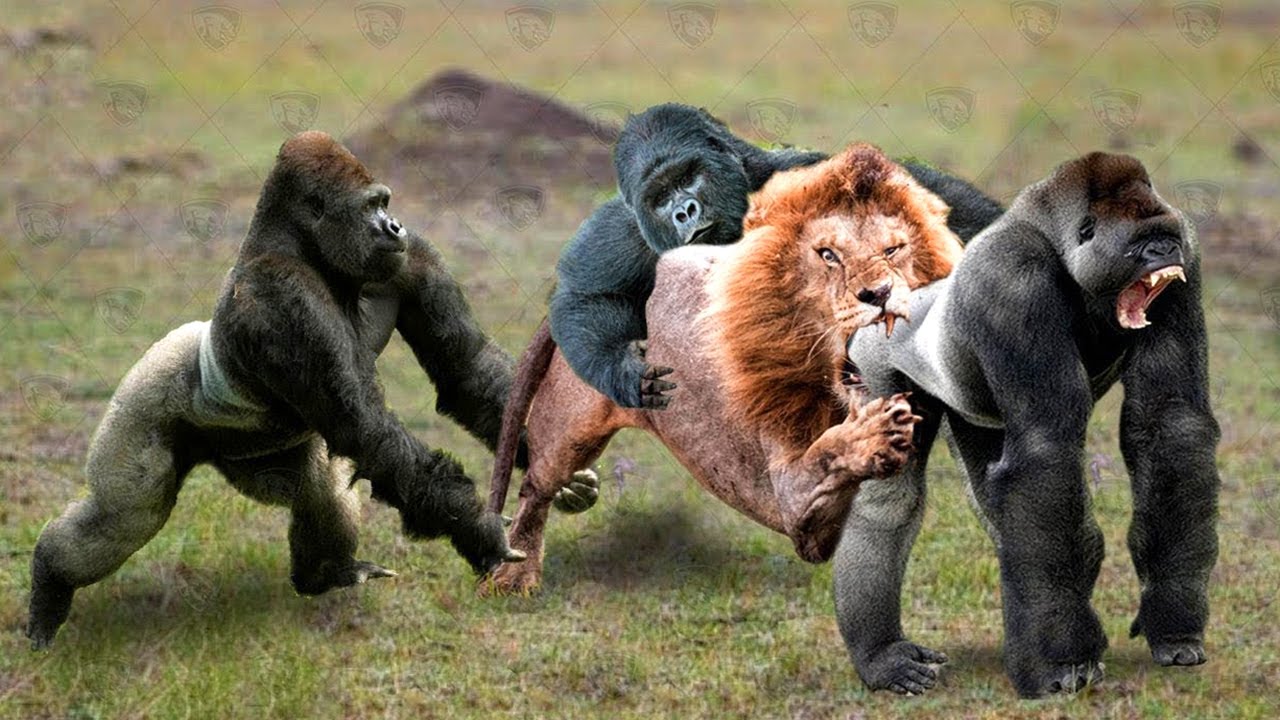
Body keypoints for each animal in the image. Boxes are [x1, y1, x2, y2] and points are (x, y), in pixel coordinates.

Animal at [27, 132, 525, 648]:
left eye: (385, 203)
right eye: (371, 206)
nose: (395, 225)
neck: (314, 256)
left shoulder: (413, 258)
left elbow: (464, 369)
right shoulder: (284, 295)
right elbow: (363, 425)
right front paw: (476, 527)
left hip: (254, 451)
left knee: (319, 483)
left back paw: (324, 573)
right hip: (146, 391)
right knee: (126, 515)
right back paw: (49, 580)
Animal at [483, 144, 965, 594]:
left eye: (893, 250)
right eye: (828, 255)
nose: (879, 293)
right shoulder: (795, 508)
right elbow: (828, 452)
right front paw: (873, 433)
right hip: (567, 430)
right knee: (535, 489)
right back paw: (513, 576)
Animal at [548, 103, 827, 410]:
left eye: (687, 178)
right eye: (661, 198)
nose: (684, 211)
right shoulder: (623, 232)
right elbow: (585, 297)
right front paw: (623, 364)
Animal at [836, 152, 1220, 698]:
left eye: (1166, 238)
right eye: (1142, 243)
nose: (1164, 253)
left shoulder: (1189, 263)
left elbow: (1170, 424)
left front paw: (1172, 611)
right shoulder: (1012, 281)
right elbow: (1047, 448)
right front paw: (1065, 657)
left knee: (1002, 507)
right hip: (874, 353)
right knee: (890, 502)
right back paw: (881, 656)